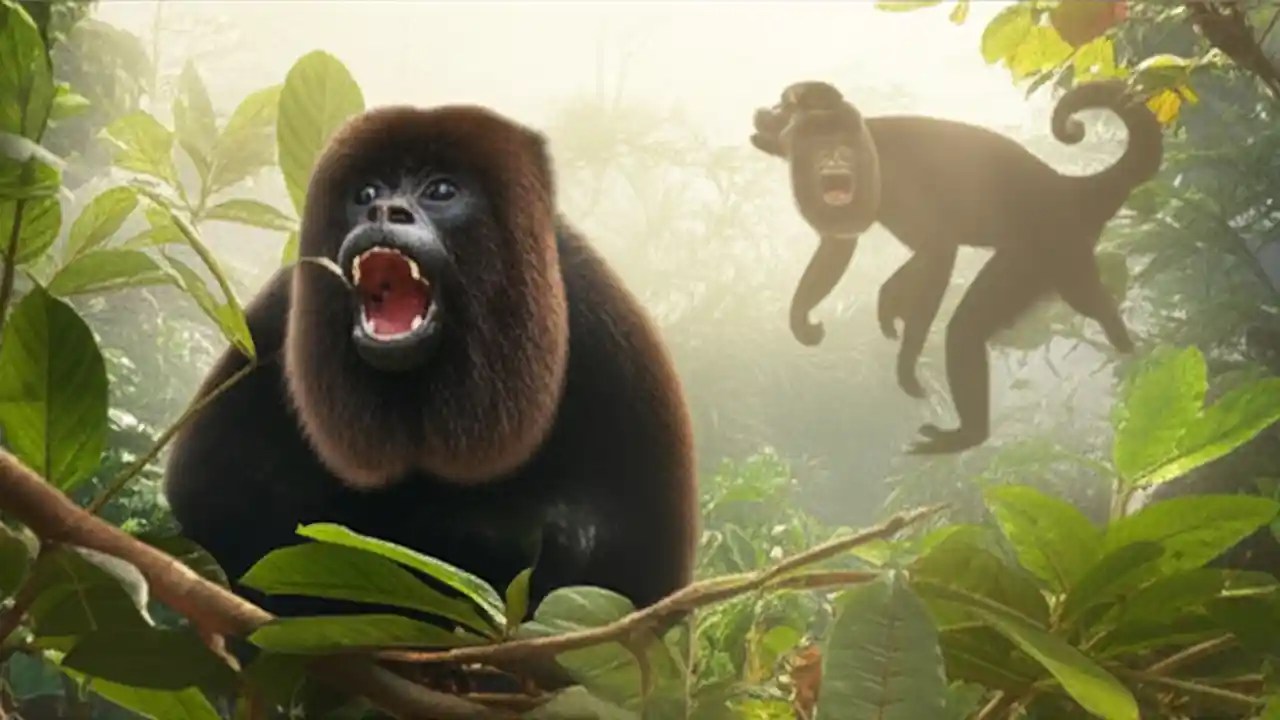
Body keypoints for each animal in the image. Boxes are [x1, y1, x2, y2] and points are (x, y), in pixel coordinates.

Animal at [162, 105, 699, 647]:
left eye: (441, 191)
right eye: (366, 194)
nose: (384, 211)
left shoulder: (606, 328)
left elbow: (646, 567)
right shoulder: (279, 315)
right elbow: (211, 493)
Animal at [750, 79, 1161, 455]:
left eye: (782, 105)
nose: (763, 111)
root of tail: (1068, 188)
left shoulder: (888, 174)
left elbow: (938, 248)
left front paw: (906, 364)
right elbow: (840, 245)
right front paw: (803, 317)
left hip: (1050, 245)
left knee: (970, 327)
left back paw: (972, 433)